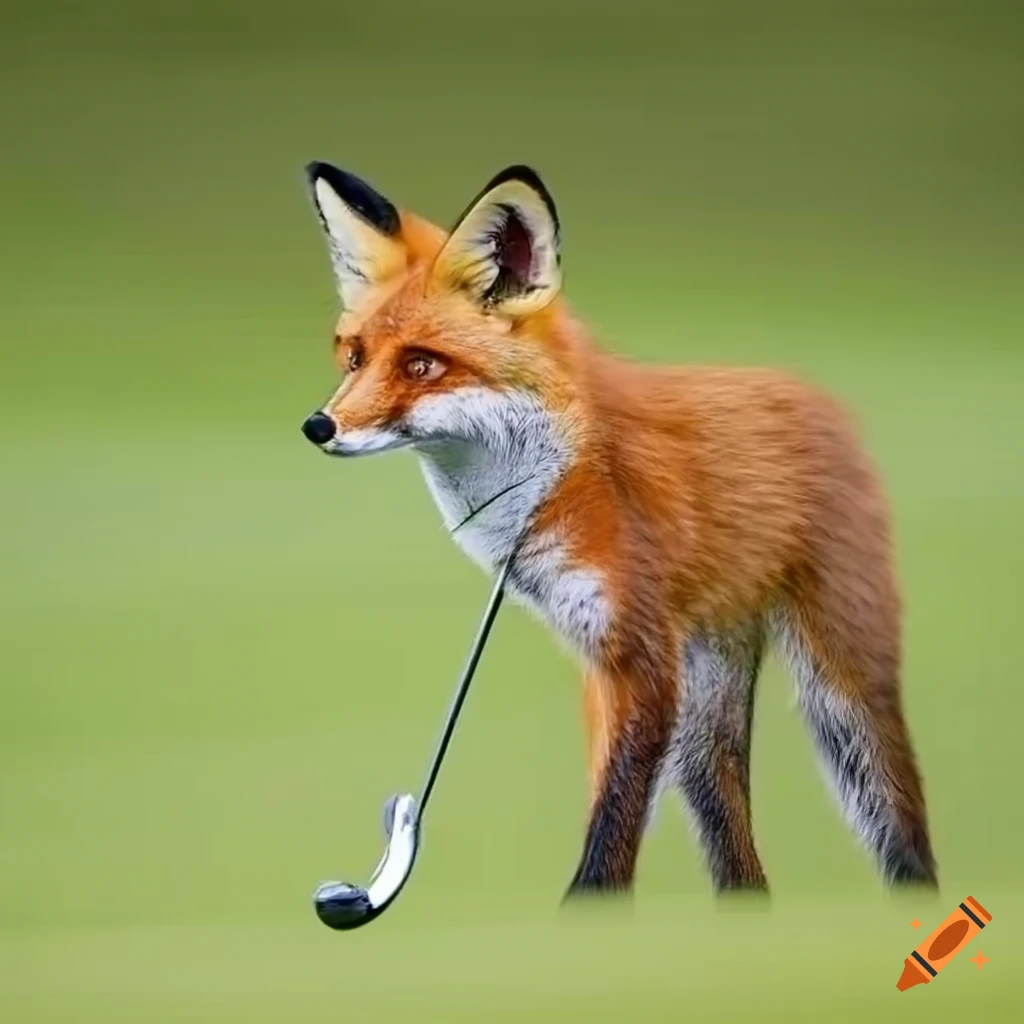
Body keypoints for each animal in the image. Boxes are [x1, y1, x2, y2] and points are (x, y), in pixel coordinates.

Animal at [299, 160, 938, 898]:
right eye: (354, 358)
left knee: (904, 839)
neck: (556, 487)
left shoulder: (640, 655)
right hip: (707, 711)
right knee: (739, 863)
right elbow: (608, 808)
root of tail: (820, 395)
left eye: (422, 365)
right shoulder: (599, 656)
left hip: (841, 688)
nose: (318, 426)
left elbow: (610, 835)